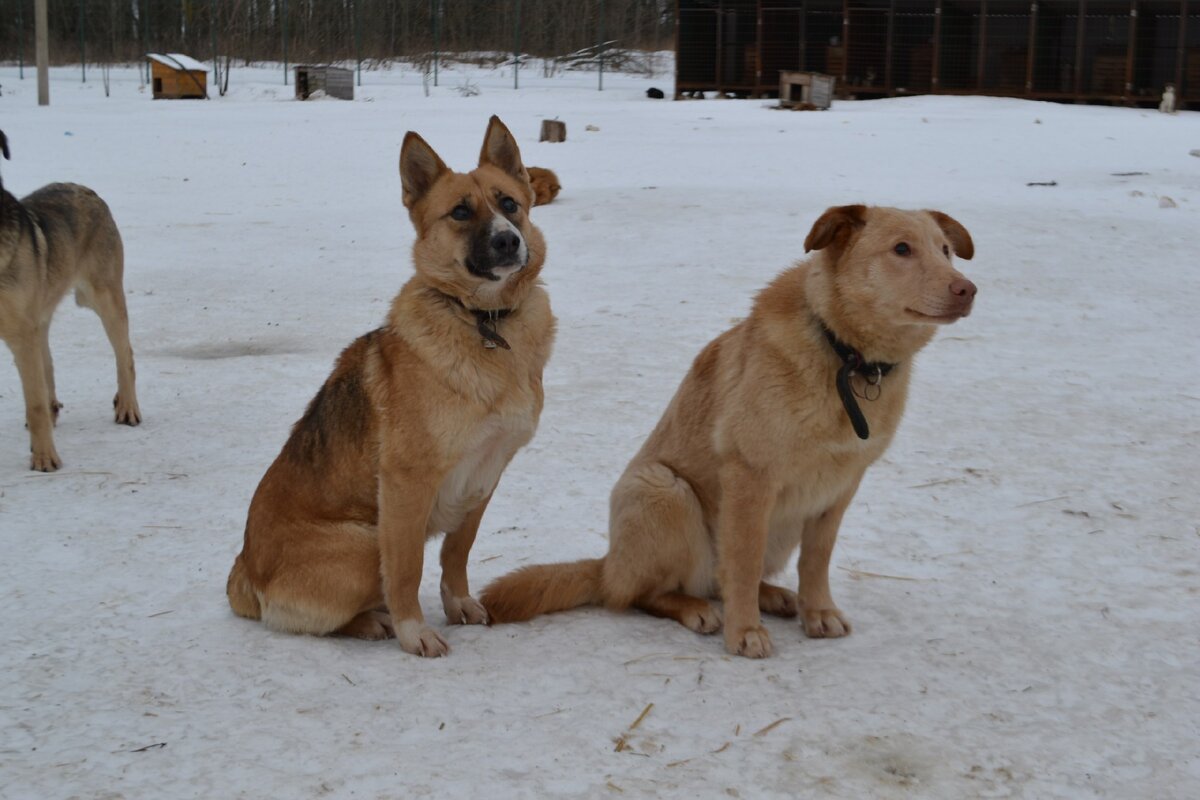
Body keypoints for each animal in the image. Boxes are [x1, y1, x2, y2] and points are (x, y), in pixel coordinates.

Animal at [0, 128, 140, 472]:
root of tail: (83, 188)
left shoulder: (21, 335)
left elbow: (35, 403)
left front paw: (44, 458)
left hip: (102, 297)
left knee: (125, 354)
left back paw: (127, 407)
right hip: (41, 316)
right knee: (47, 366)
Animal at [226, 117, 554, 657]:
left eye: (509, 203)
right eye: (460, 212)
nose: (508, 241)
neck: (483, 322)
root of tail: (243, 572)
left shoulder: (486, 475)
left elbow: (456, 553)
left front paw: (458, 604)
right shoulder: (405, 486)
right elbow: (405, 569)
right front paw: (413, 631)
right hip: (364, 540)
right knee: (326, 616)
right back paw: (372, 623)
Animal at [482, 205, 979, 657]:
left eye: (946, 251)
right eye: (901, 249)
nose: (968, 289)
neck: (846, 358)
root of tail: (607, 564)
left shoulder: (838, 488)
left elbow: (815, 562)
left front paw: (817, 612)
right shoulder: (750, 479)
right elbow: (741, 563)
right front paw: (745, 632)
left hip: (777, 526)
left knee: (717, 580)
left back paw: (774, 597)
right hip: (664, 489)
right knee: (640, 594)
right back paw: (694, 609)